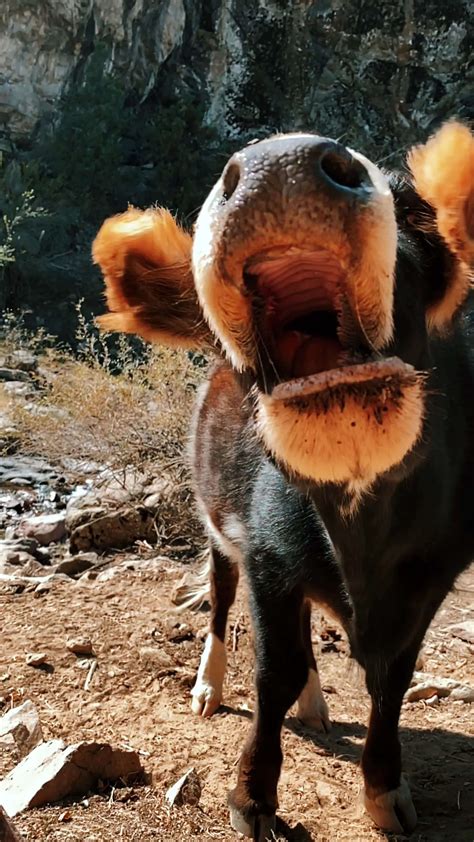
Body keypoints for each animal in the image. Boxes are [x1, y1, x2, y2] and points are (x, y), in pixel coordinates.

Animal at [93, 121, 474, 839]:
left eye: (418, 214)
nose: (282, 164)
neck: (361, 535)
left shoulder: (436, 572)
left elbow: (394, 679)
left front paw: (385, 789)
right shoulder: (267, 556)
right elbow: (275, 670)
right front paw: (253, 799)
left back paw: (315, 705)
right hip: (218, 529)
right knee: (221, 603)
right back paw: (209, 687)